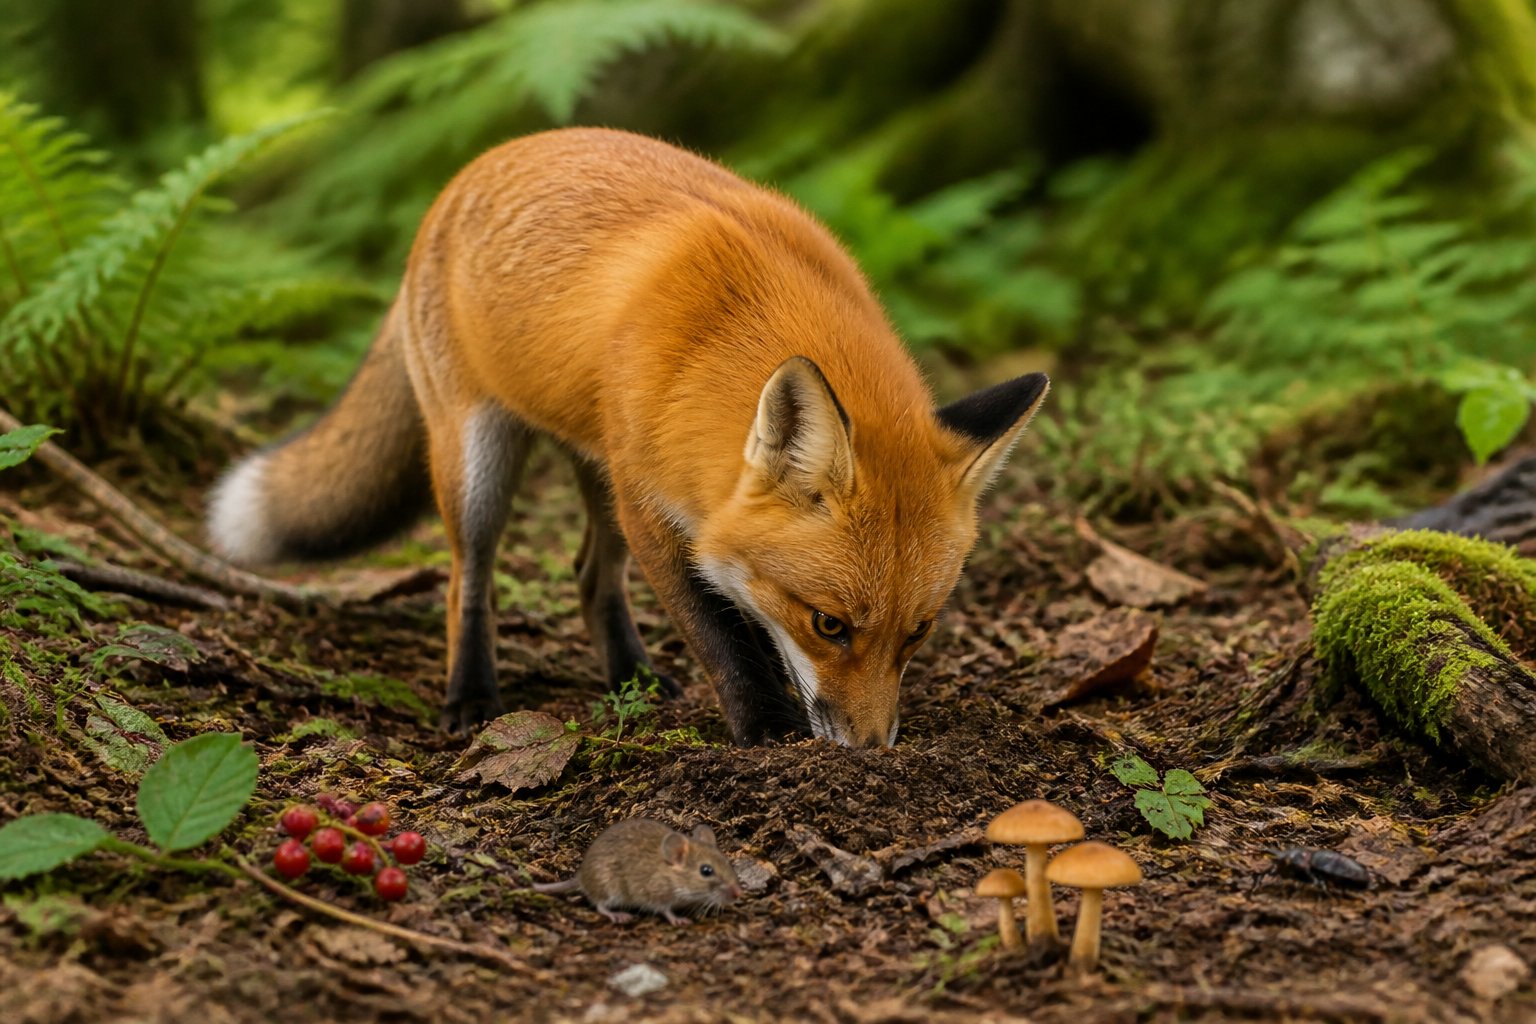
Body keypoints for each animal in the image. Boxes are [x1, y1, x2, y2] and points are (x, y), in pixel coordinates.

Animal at [207, 128, 1048, 748]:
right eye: (829, 625)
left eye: (919, 632)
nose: (871, 751)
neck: (733, 326)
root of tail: (479, 164)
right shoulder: (652, 508)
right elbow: (723, 638)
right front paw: (767, 733)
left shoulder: (668, 501)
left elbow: (738, 620)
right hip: (481, 460)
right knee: (465, 581)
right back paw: (471, 697)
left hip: (598, 466)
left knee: (588, 574)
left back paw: (629, 679)